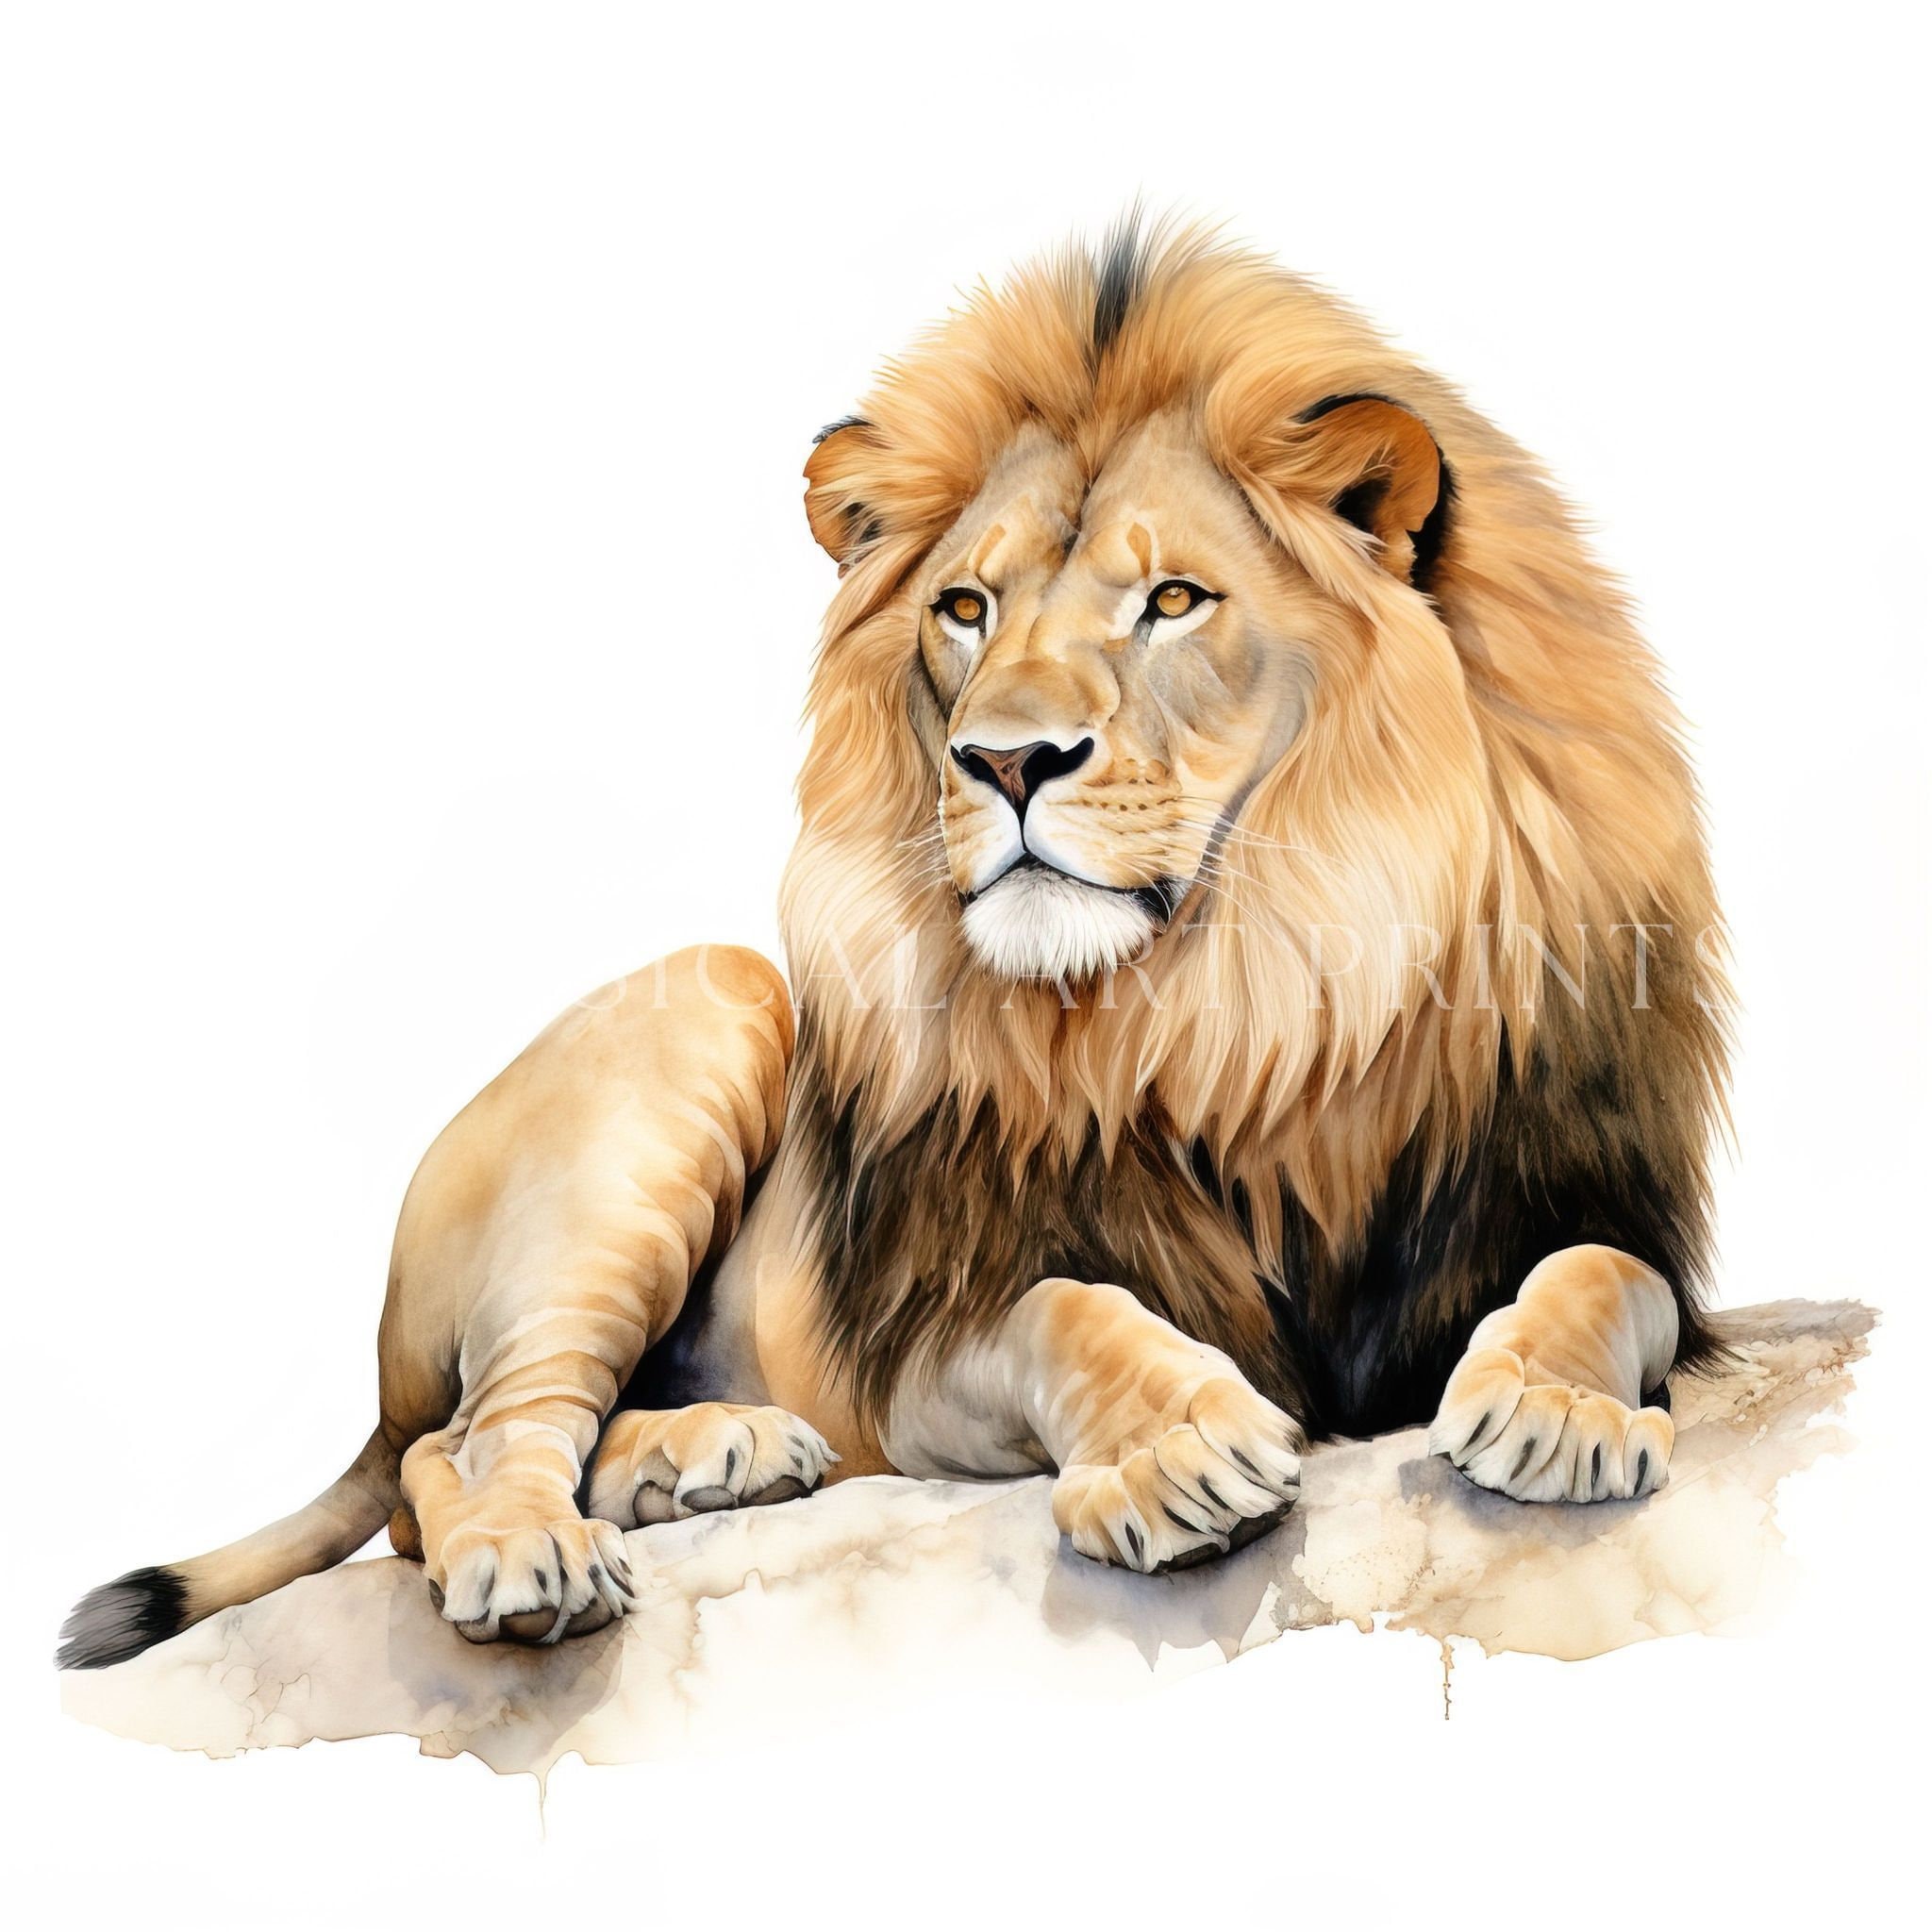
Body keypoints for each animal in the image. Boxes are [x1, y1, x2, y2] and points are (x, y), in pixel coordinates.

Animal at [60, 219, 1728, 1665]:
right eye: (967, 609)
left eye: (1175, 599)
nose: (1006, 760)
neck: (1246, 1007)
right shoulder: (927, 1343)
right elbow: (1071, 1307)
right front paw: (1177, 1449)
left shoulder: (1565, 1203)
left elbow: (1603, 1274)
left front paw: (1555, 1413)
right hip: (711, 1017)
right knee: (456, 1455)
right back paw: (533, 1557)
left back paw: (703, 1457)